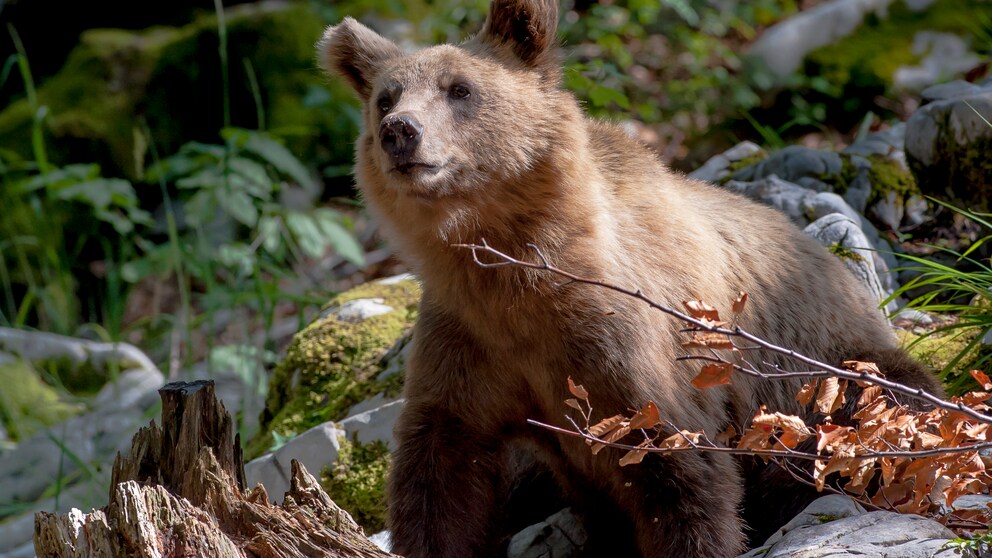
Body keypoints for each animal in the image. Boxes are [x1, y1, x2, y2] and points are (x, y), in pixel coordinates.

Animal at [317, 1, 944, 556]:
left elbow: (681, 470)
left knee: (882, 413)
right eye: (385, 97)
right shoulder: (467, 348)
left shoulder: (628, 346)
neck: (512, 274)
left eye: (460, 89)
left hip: (827, 372)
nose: (400, 131)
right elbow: (440, 474)